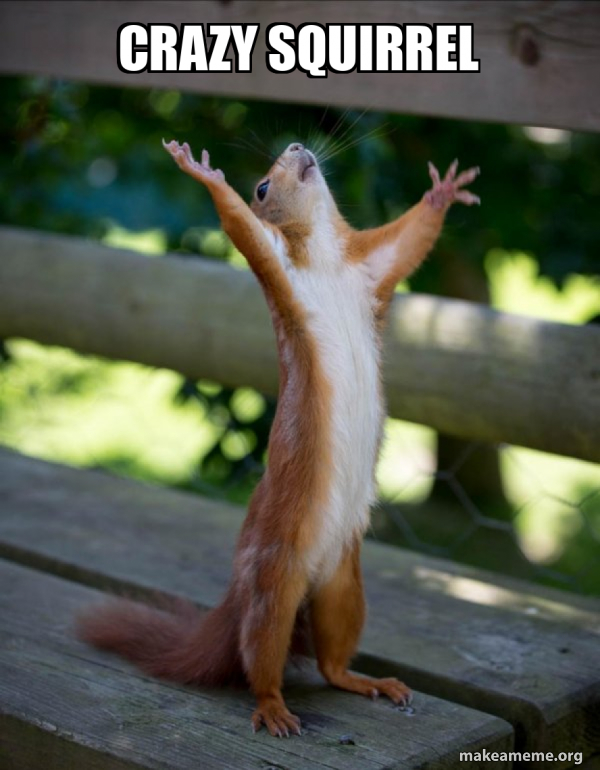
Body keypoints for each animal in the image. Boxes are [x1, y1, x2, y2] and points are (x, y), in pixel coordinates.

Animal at [77, 138, 479, 738]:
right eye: (262, 187)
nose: (296, 147)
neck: (327, 257)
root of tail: (239, 595)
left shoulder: (372, 267)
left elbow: (409, 240)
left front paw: (443, 192)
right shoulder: (277, 266)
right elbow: (240, 226)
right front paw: (204, 174)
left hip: (344, 586)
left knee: (332, 661)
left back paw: (368, 681)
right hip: (273, 585)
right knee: (260, 658)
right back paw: (273, 708)